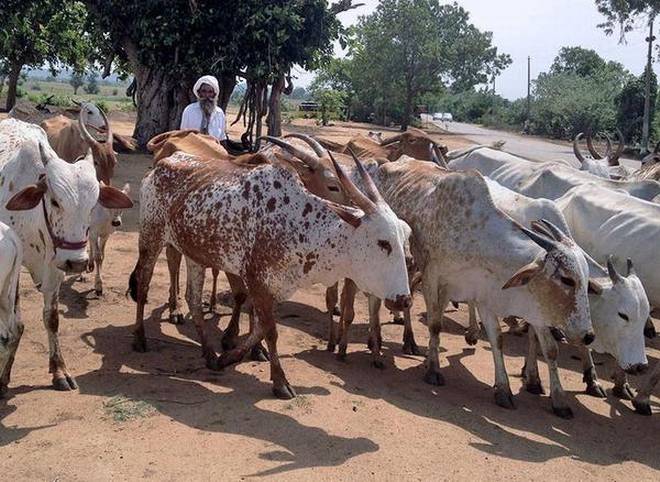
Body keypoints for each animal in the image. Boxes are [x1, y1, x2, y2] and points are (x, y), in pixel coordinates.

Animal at [0, 118, 133, 390]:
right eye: (54, 201)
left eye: (93, 205)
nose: (77, 263)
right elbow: (14, 323)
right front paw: (4, 375)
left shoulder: (54, 268)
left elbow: (51, 318)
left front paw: (59, 370)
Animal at [128, 148, 412, 399]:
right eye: (383, 242)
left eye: (405, 237)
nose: (405, 300)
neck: (300, 224)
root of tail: (161, 164)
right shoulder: (257, 281)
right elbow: (270, 329)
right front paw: (279, 381)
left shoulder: (274, 286)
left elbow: (262, 327)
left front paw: (227, 358)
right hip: (151, 238)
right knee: (142, 286)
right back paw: (140, 338)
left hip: (194, 254)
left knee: (194, 301)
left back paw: (209, 354)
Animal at [372, 158, 596, 415]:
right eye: (567, 279)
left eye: (586, 280)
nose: (589, 336)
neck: (477, 237)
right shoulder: (432, 276)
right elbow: (435, 325)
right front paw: (434, 370)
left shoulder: (484, 294)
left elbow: (507, 341)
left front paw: (517, 392)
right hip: (408, 263)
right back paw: (409, 339)